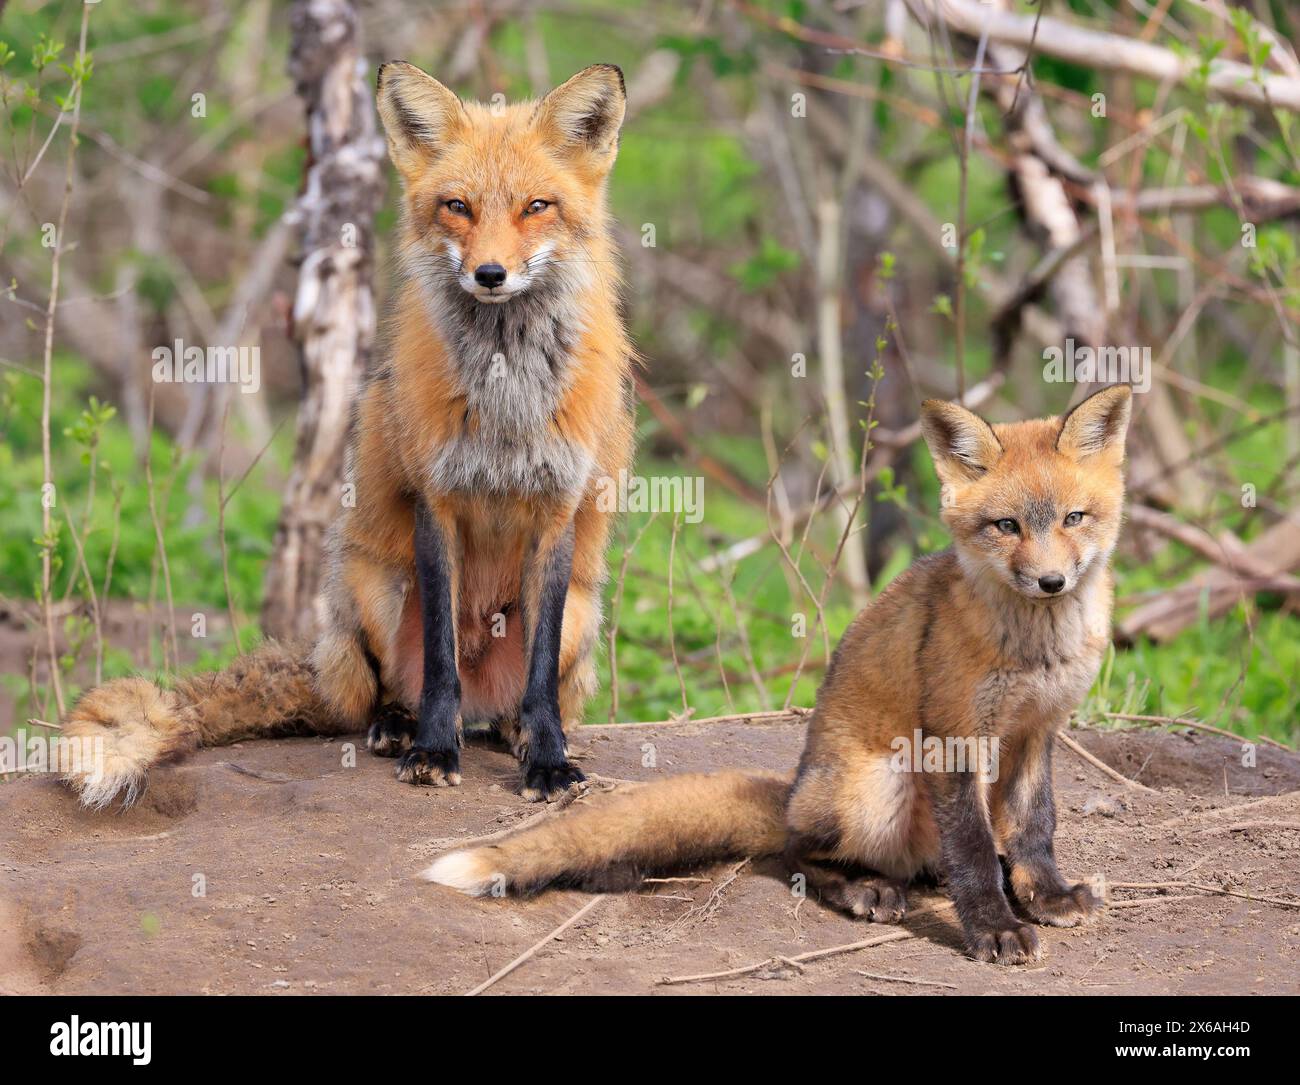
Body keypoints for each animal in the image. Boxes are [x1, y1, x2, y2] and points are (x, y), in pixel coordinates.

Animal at [58, 62, 636, 807]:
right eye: (457, 206)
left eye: (537, 206)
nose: (490, 274)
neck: (507, 395)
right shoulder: (436, 504)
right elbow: (440, 664)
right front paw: (434, 752)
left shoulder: (556, 512)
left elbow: (538, 682)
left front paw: (548, 760)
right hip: (378, 589)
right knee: (388, 691)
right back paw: (401, 726)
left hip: (585, 615)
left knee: (520, 694)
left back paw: (513, 730)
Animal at [423, 385, 1133, 964]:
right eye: (1006, 525)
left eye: (1073, 518)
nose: (1051, 581)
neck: (1038, 649)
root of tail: (793, 791)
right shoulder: (953, 737)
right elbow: (976, 854)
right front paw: (994, 927)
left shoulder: (1036, 731)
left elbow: (1034, 827)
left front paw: (1045, 895)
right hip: (879, 785)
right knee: (799, 854)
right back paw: (863, 888)